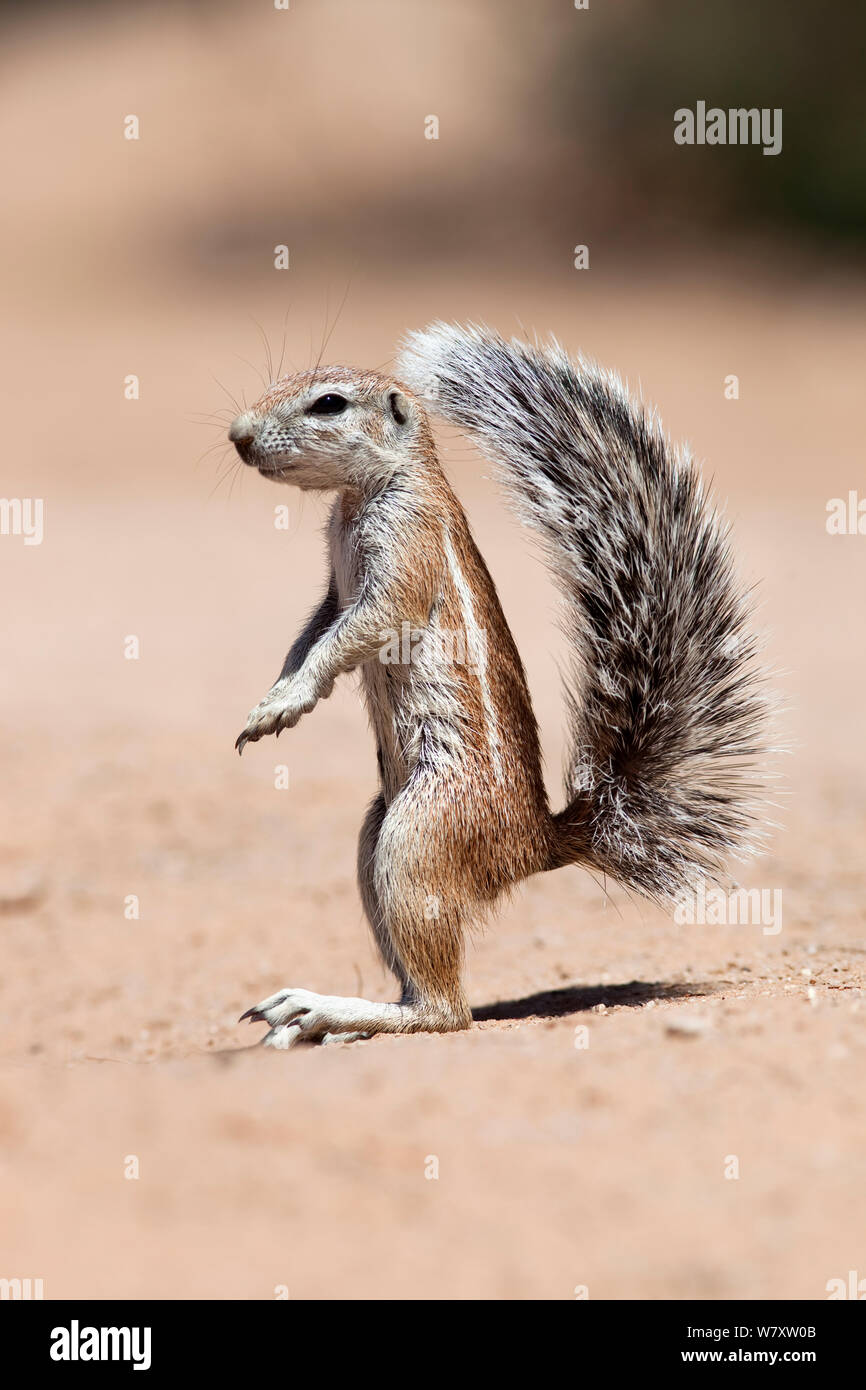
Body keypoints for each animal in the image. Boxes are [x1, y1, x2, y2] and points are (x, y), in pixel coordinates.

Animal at [227, 322, 770, 1047]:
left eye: (330, 404)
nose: (239, 434)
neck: (363, 496)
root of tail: (535, 843)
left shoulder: (403, 559)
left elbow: (355, 632)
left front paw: (289, 700)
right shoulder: (332, 588)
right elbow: (312, 631)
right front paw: (273, 696)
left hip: (418, 836)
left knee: (446, 1012)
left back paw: (331, 1010)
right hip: (376, 835)